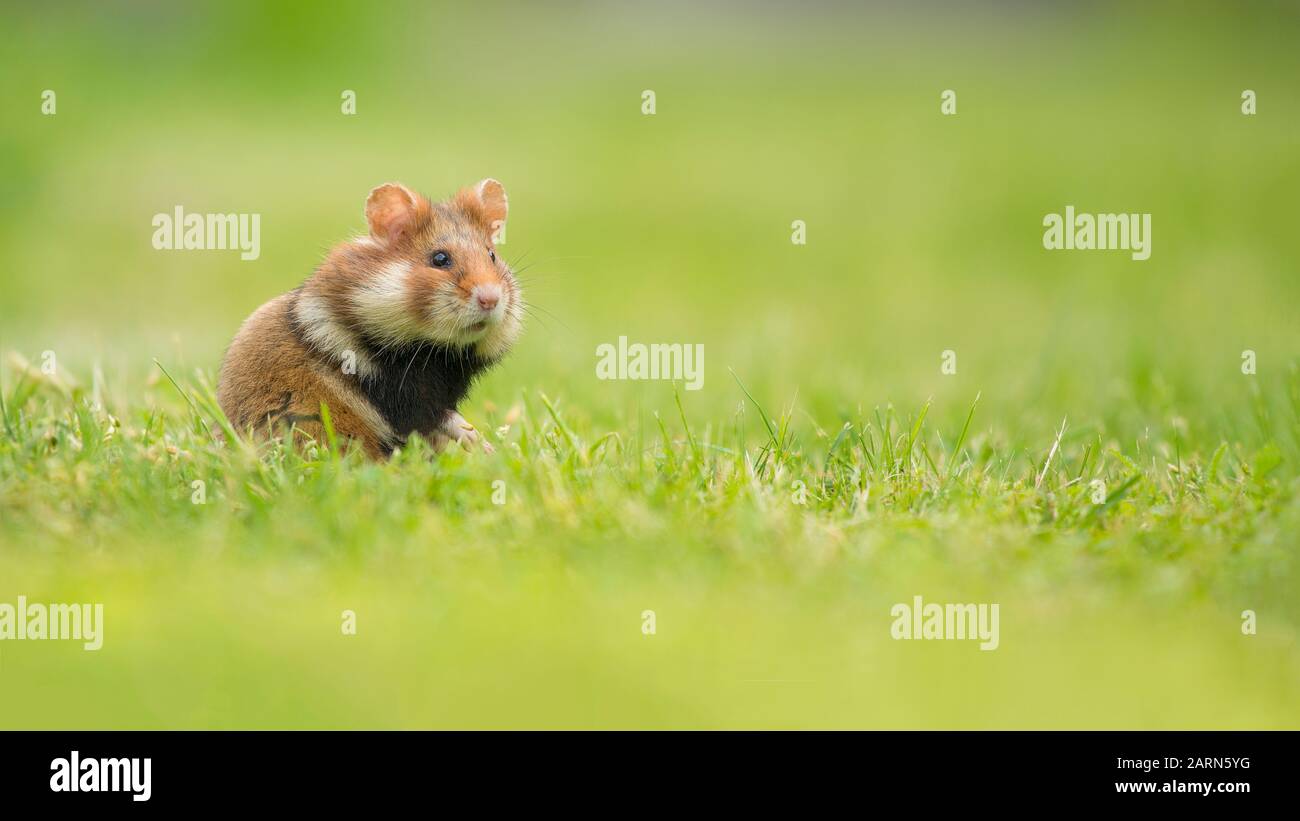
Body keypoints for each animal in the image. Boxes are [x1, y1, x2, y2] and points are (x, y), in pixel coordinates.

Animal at [217, 179, 522, 458]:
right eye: (439, 259)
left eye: (492, 255)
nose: (490, 299)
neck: (432, 348)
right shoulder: (394, 391)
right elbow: (440, 418)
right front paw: (482, 444)